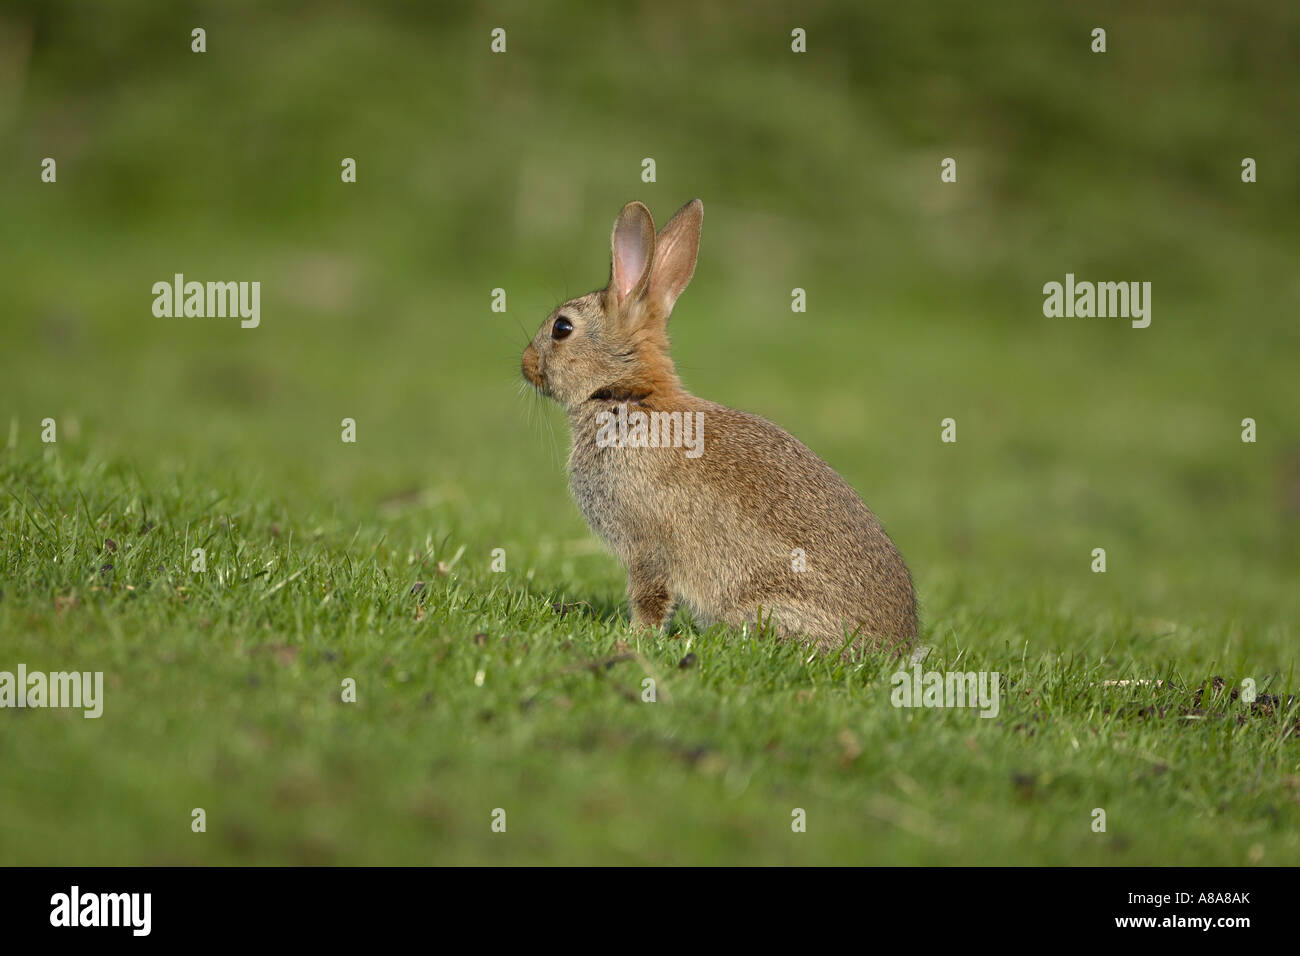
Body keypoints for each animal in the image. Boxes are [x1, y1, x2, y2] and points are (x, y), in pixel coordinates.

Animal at [522, 199, 917, 652]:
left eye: (562, 327)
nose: (525, 364)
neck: (627, 395)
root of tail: (902, 650)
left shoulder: (648, 544)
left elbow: (650, 594)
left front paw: (636, 636)